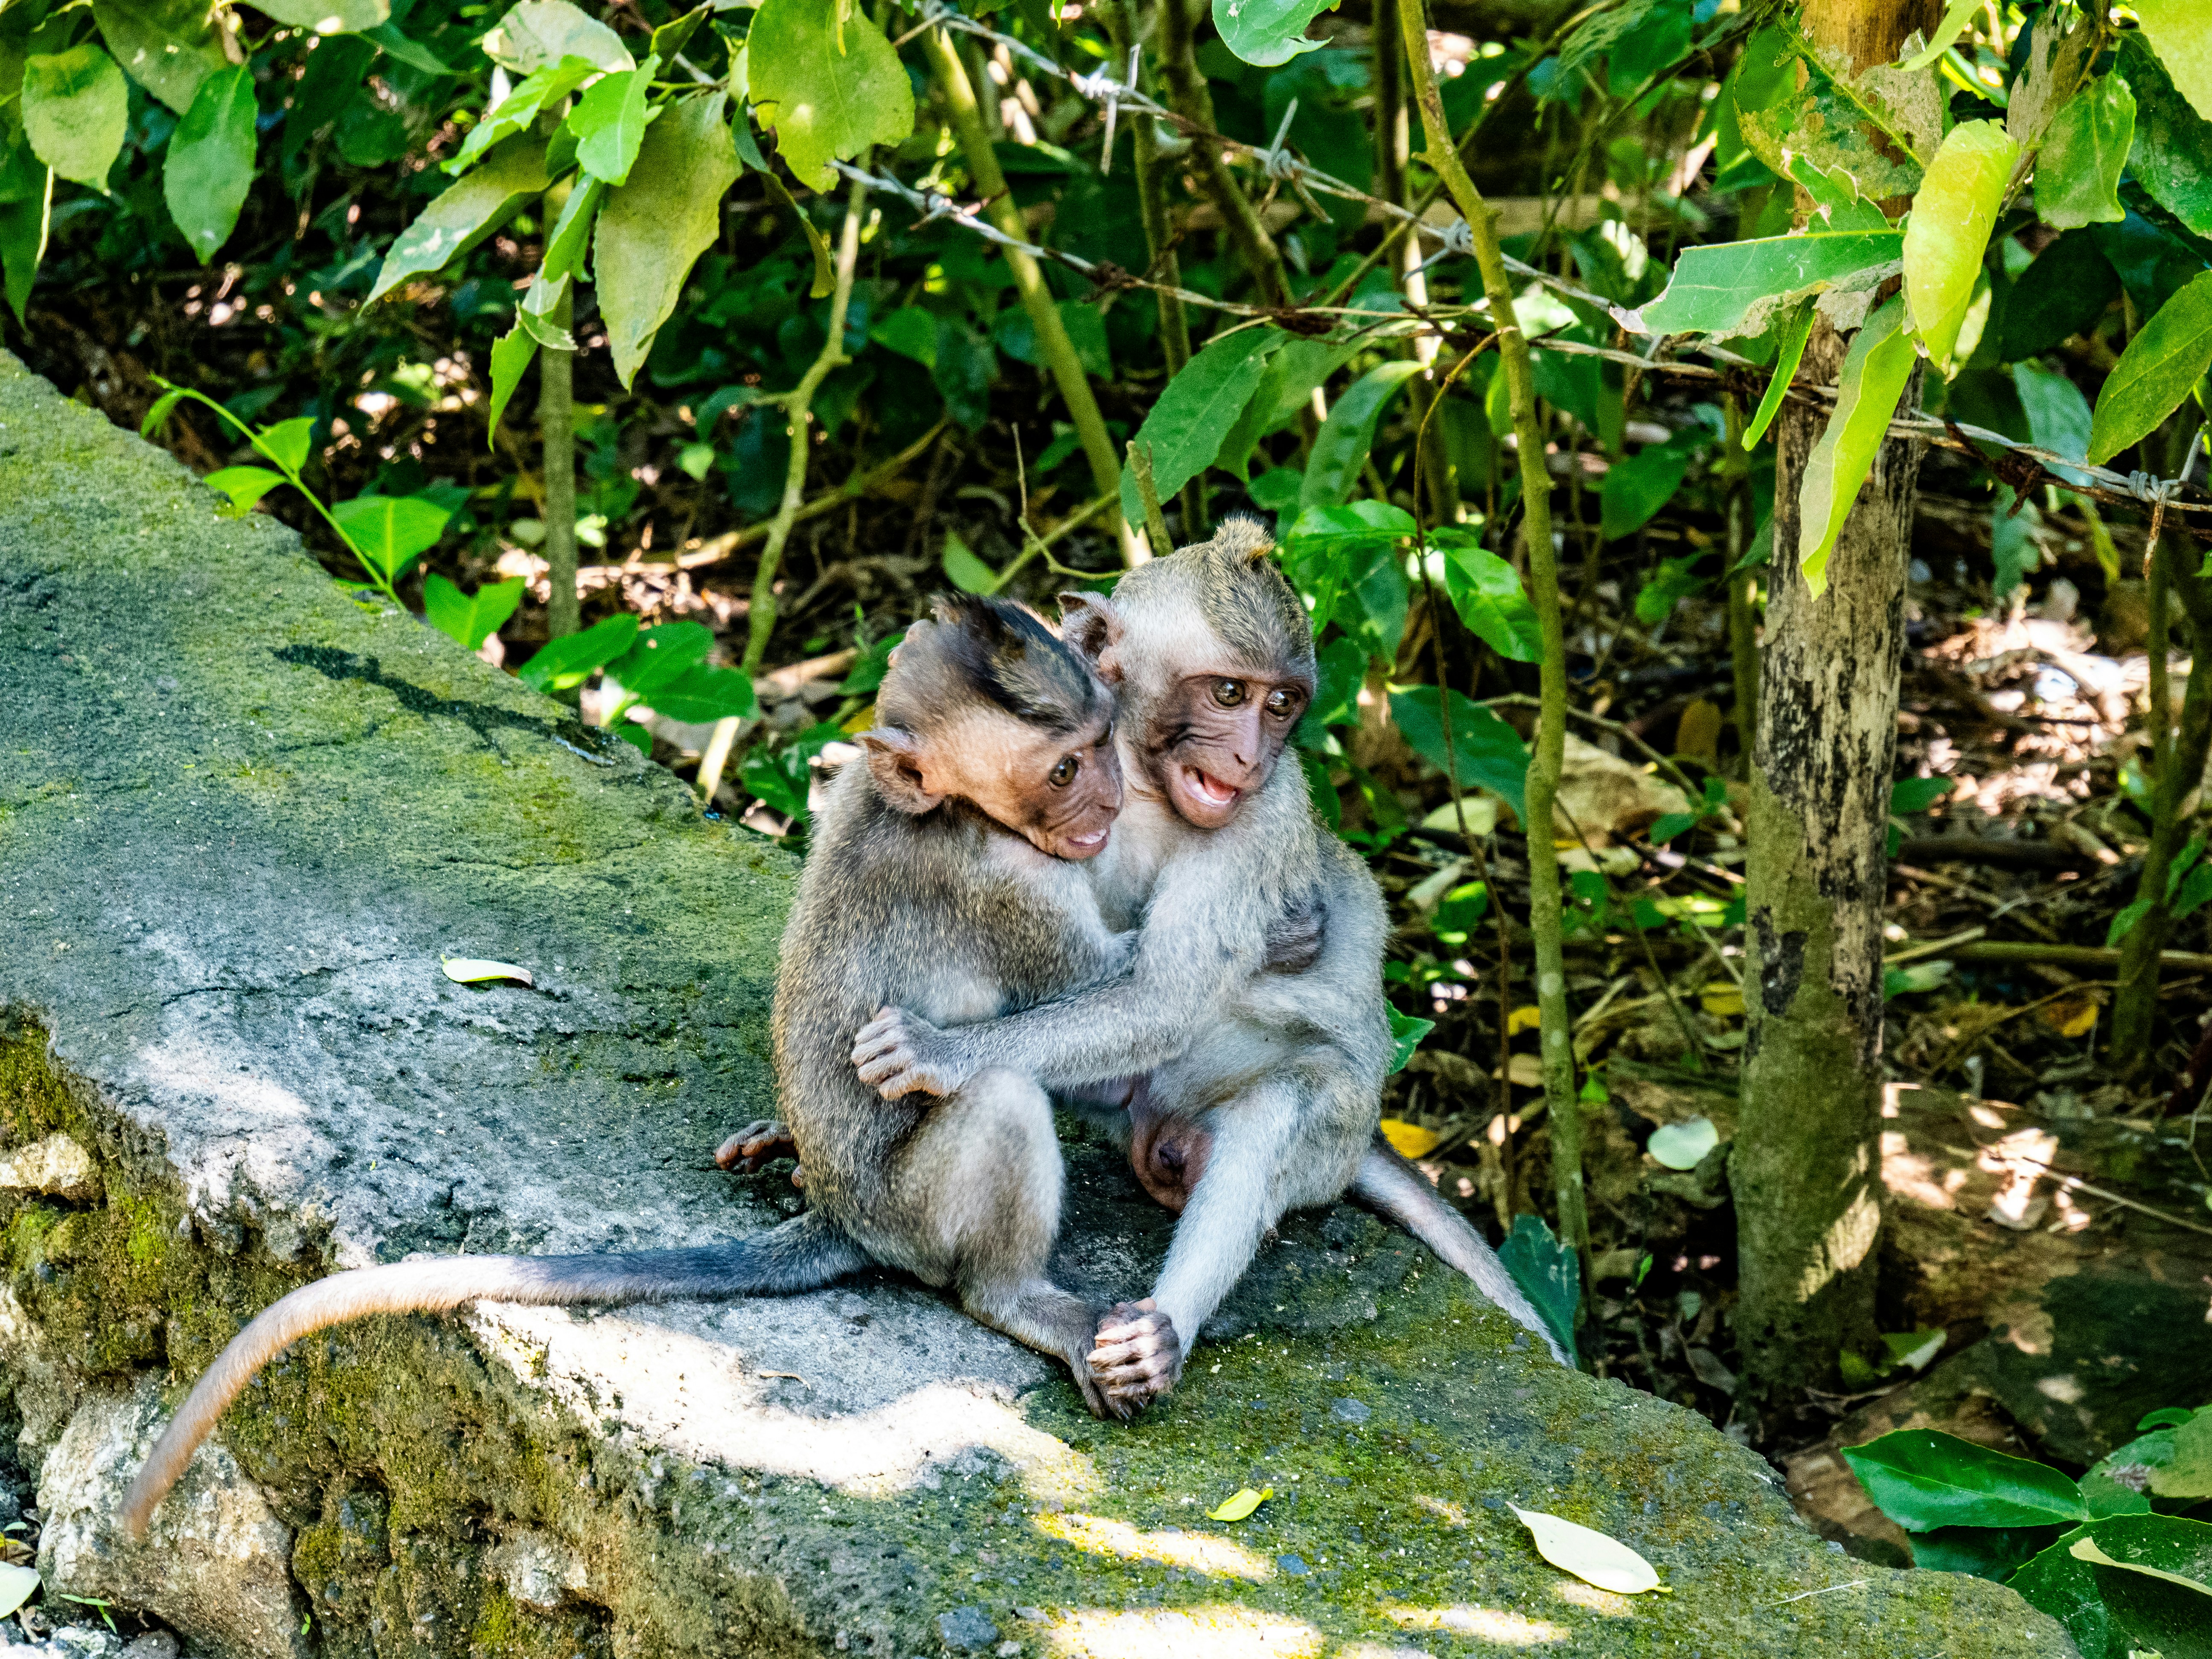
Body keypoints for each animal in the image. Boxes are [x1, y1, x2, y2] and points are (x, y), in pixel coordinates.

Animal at [122, 594, 1147, 1540]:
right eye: (1063, 769)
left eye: (1103, 744)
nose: (1111, 804)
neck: (939, 809)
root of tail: (840, 1214)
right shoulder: (1008, 882)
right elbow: (1123, 985)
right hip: (911, 1211)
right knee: (1000, 1101)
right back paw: (1014, 1295)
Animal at [850, 519, 1566, 1411]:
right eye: (1228, 694)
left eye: (1281, 703)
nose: (1250, 755)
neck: (1140, 782)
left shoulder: (1261, 819)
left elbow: (1160, 999)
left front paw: (942, 1052)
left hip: (1326, 1134)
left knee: (1281, 1110)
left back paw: (1161, 1329)